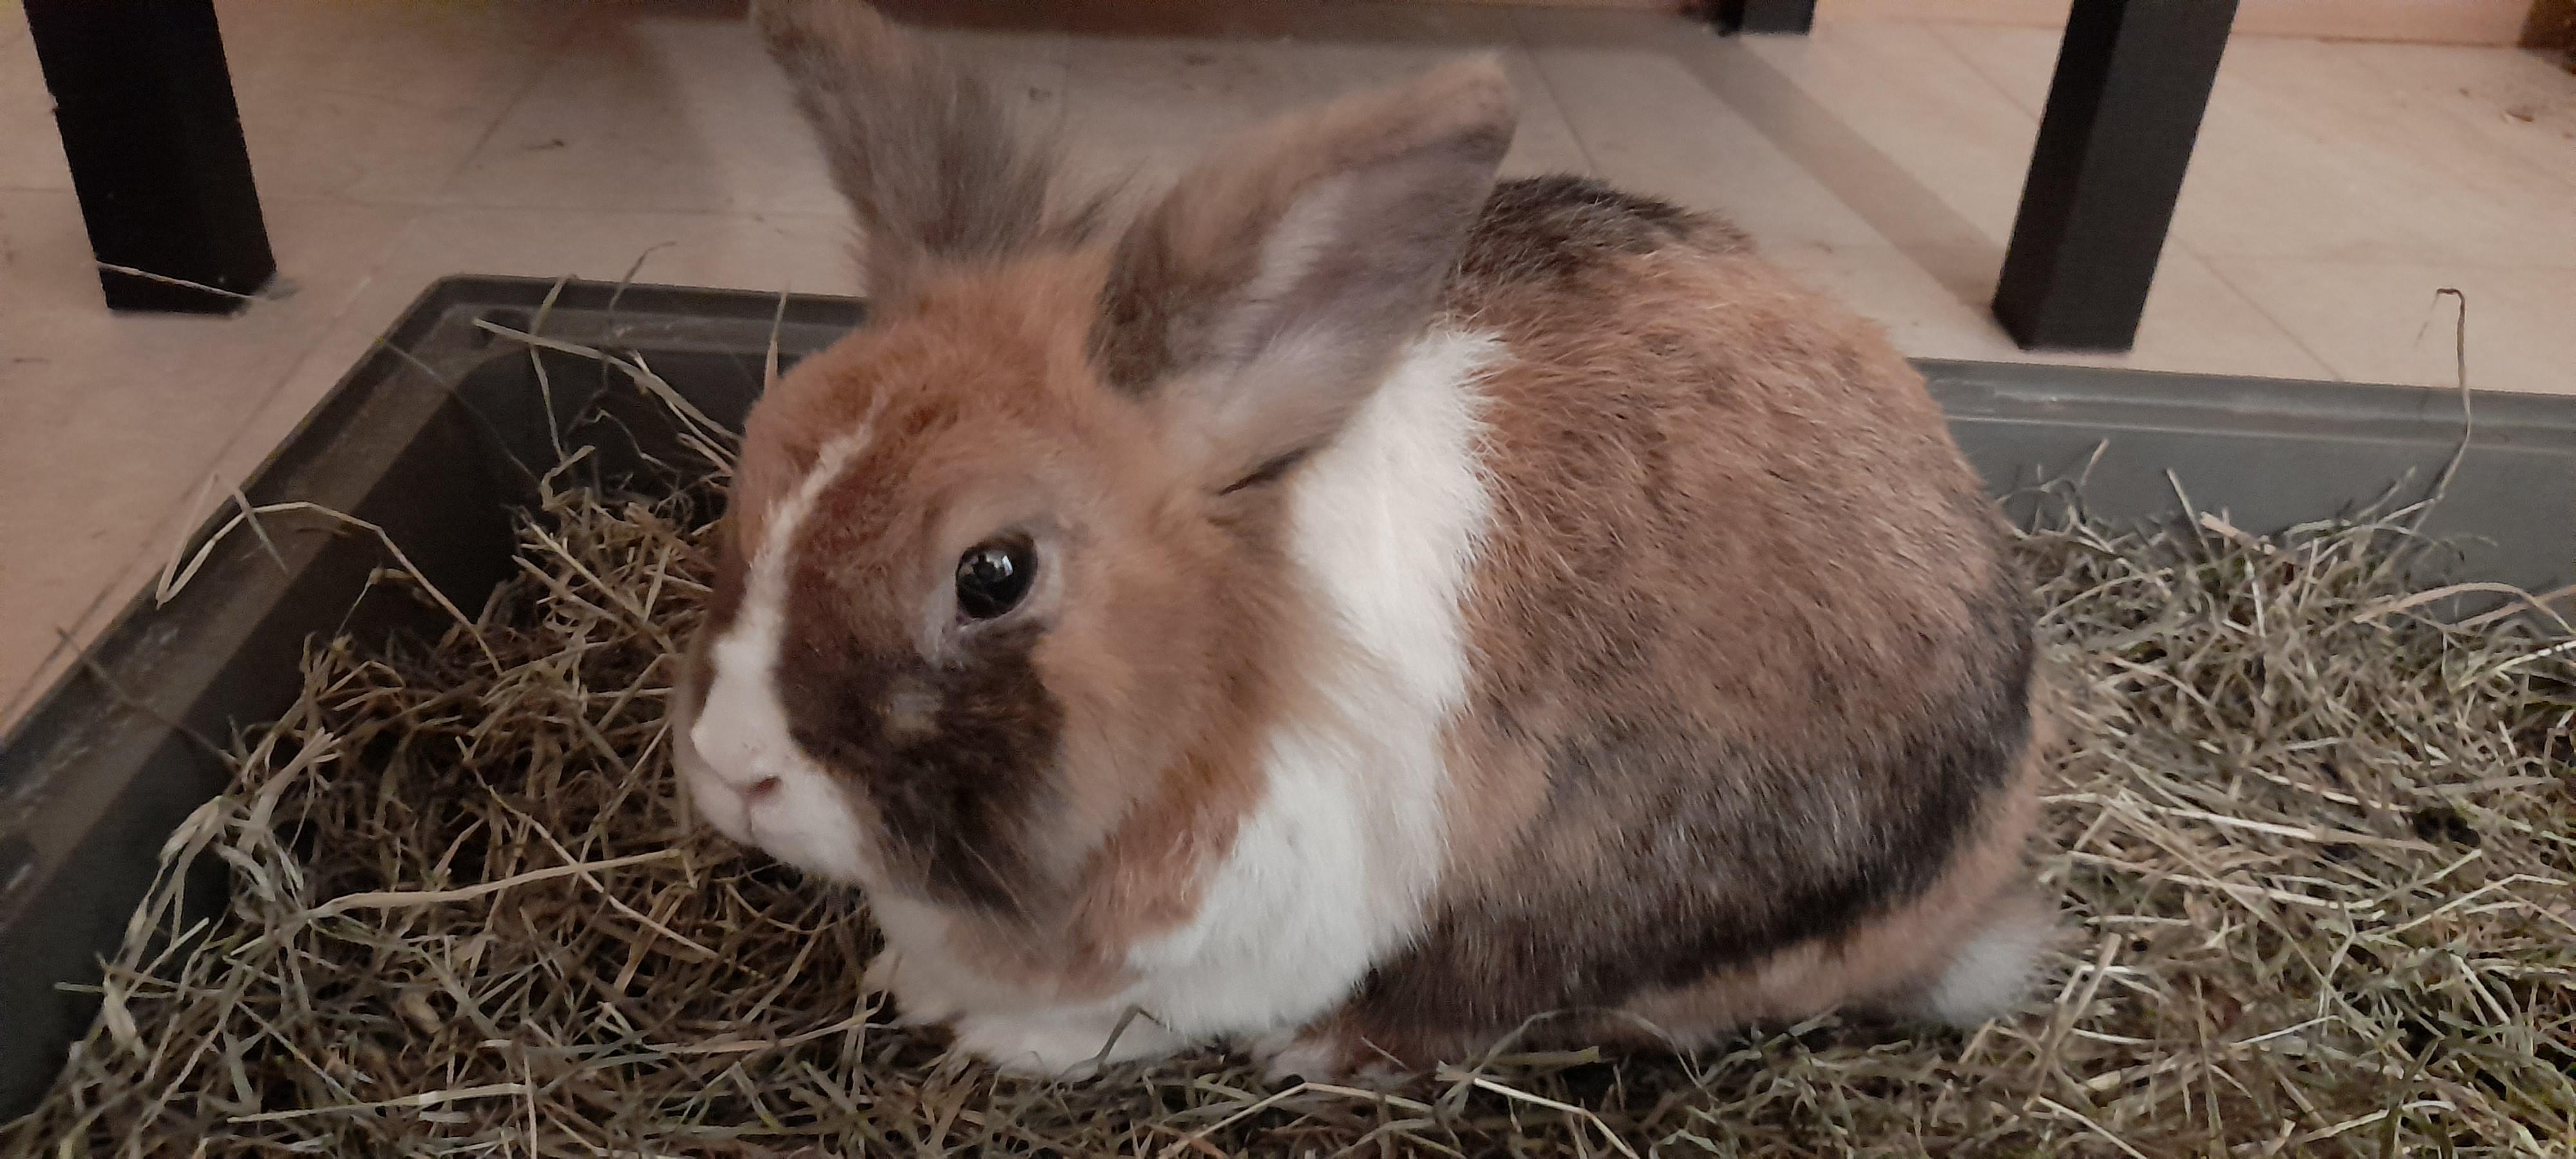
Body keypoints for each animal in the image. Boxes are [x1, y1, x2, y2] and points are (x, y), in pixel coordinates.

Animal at [670, 0, 2054, 1081]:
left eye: (992, 573)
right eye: (756, 462)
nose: (734, 769)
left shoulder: (1253, 936)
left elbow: (1136, 1017)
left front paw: (999, 1036)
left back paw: (1328, 1048)